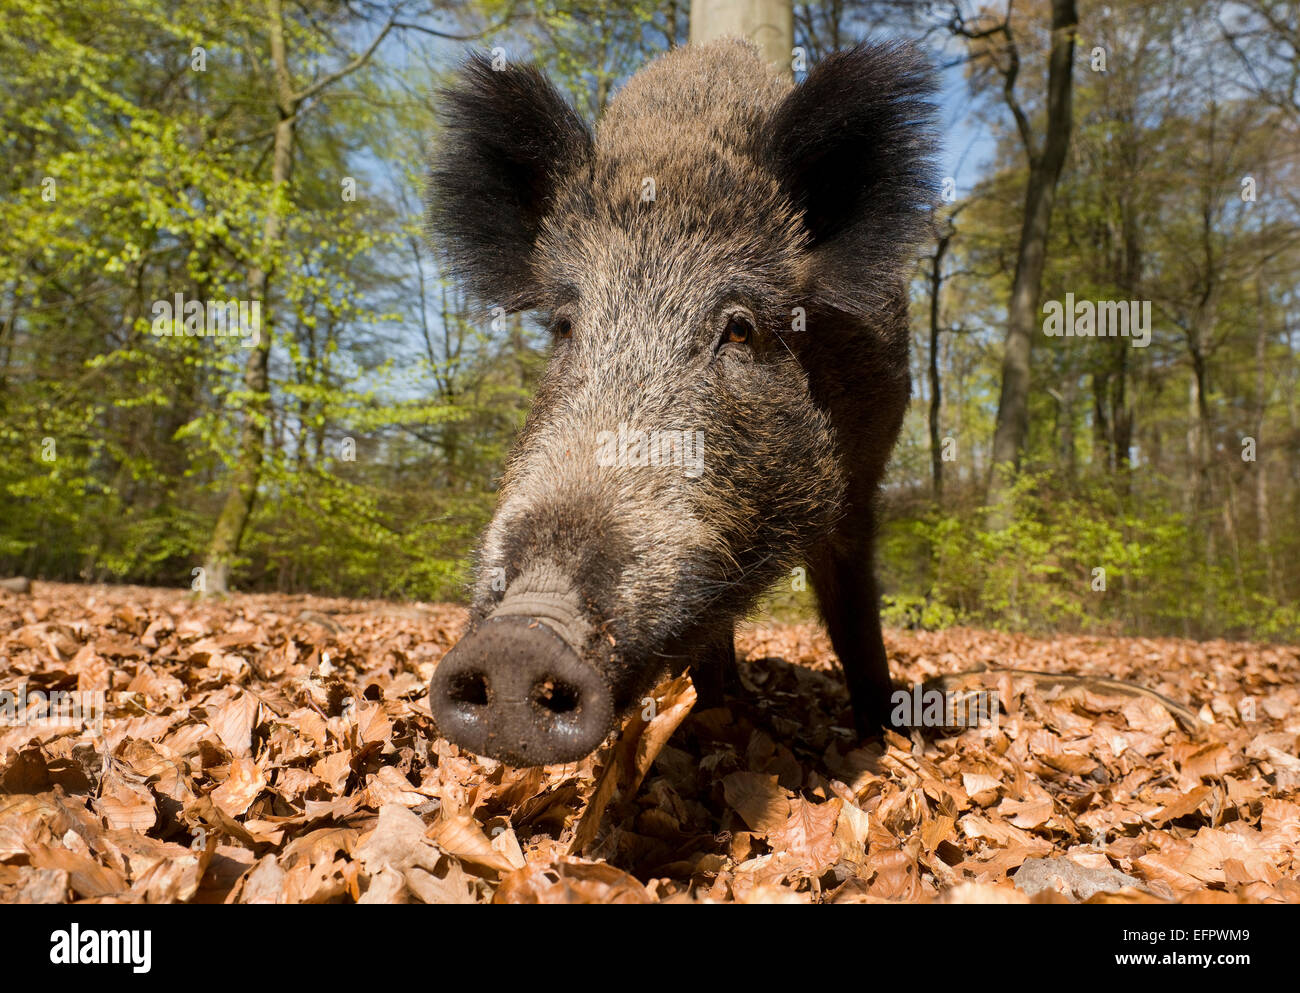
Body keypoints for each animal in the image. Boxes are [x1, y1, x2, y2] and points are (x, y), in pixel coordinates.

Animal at [425, 38, 938, 765]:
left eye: (740, 328)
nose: (518, 637)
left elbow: (854, 609)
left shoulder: (863, 477)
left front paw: (885, 737)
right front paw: (719, 720)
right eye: (564, 326)